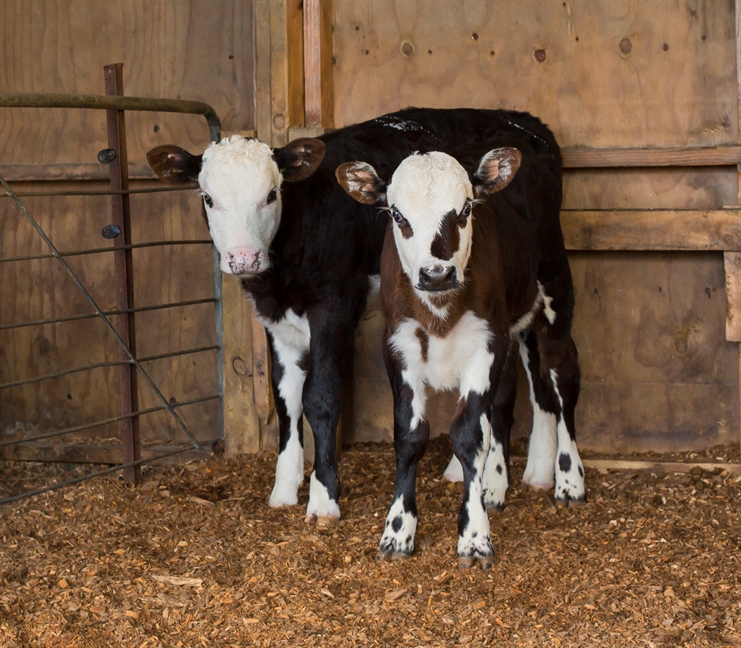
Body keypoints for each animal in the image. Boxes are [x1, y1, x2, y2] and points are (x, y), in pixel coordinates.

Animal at [146, 108, 574, 528]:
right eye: (208, 198)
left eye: (271, 194)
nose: (244, 258)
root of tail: (525, 121)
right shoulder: (277, 322)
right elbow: (285, 398)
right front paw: (283, 489)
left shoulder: (335, 304)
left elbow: (320, 397)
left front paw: (323, 497)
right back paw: (516, 471)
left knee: (547, 371)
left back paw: (549, 474)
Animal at [336, 124, 585, 567]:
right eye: (396, 214)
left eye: (466, 208)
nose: (437, 273)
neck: (440, 310)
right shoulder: (397, 345)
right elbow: (410, 436)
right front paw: (398, 530)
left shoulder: (485, 343)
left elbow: (470, 435)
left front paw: (474, 535)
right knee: (510, 399)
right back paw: (502, 482)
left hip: (555, 297)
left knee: (561, 379)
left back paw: (569, 478)